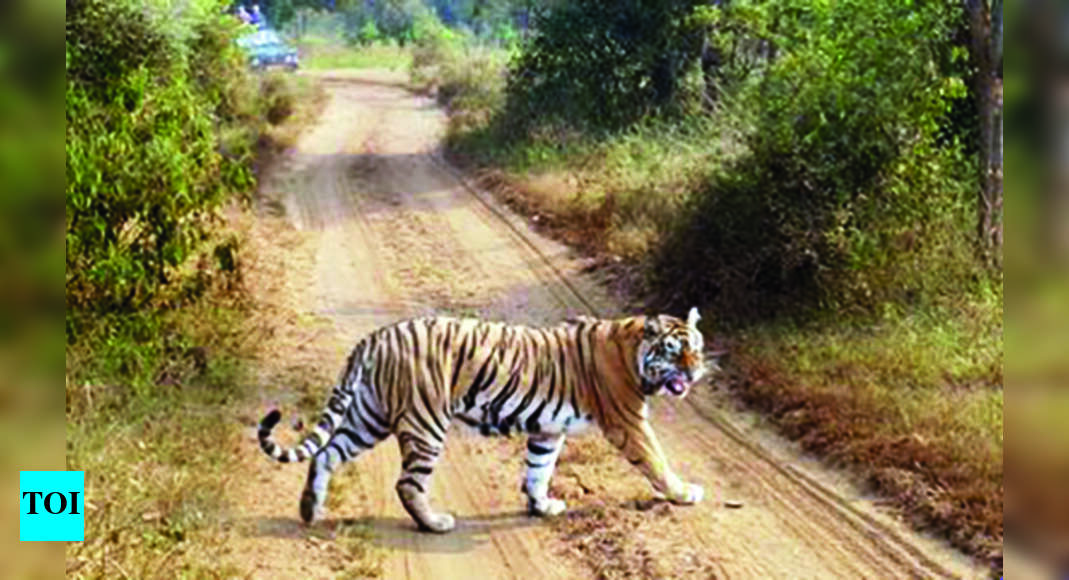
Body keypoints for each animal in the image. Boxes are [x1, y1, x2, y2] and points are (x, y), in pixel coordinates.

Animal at [258, 308, 710, 533]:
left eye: (697, 347)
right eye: (674, 351)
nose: (694, 373)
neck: (632, 350)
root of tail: (375, 337)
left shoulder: (547, 430)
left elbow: (538, 469)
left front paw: (542, 505)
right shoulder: (629, 422)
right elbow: (657, 462)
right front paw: (685, 493)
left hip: (370, 416)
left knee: (326, 455)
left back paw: (310, 511)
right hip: (425, 423)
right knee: (407, 484)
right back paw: (435, 524)